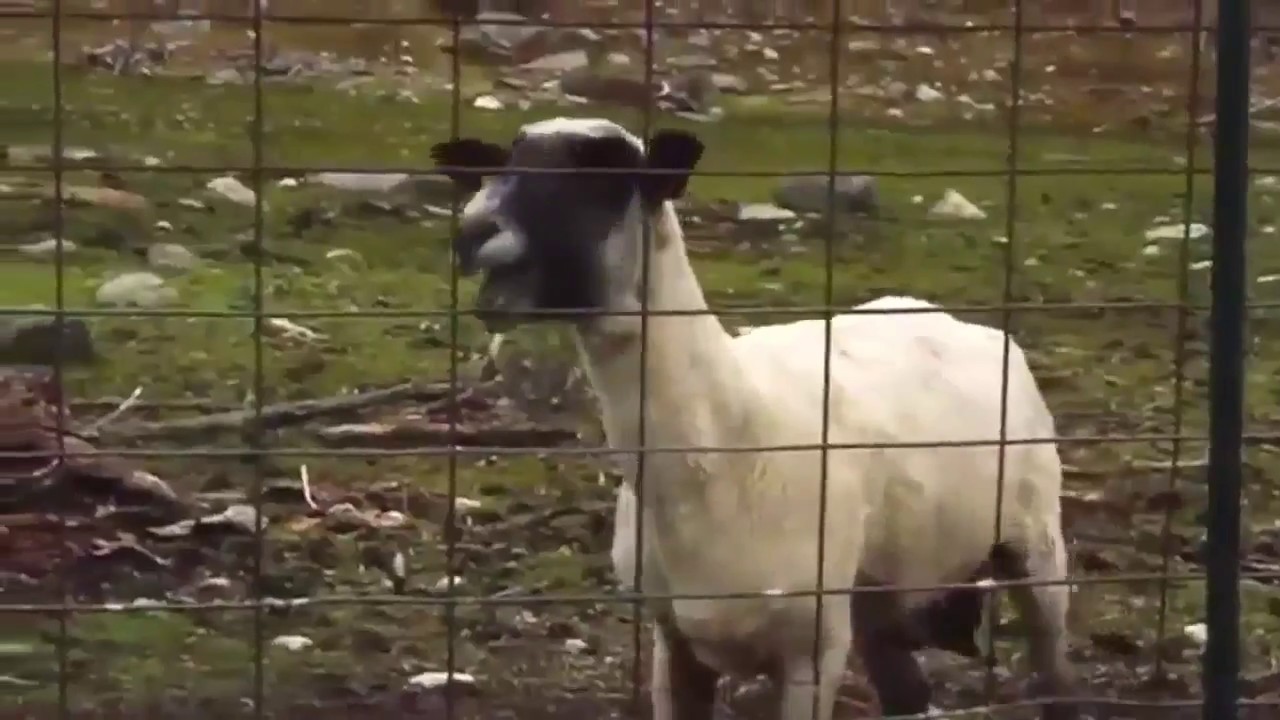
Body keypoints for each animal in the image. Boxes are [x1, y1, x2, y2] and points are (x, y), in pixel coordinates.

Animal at [431, 117, 1078, 720]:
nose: (473, 230)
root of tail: (944, 315)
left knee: (1054, 674)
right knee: (907, 693)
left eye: (605, 176)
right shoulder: (674, 638)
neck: (725, 446)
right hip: (876, 592)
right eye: (503, 163)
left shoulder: (811, 651)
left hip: (1035, 541)